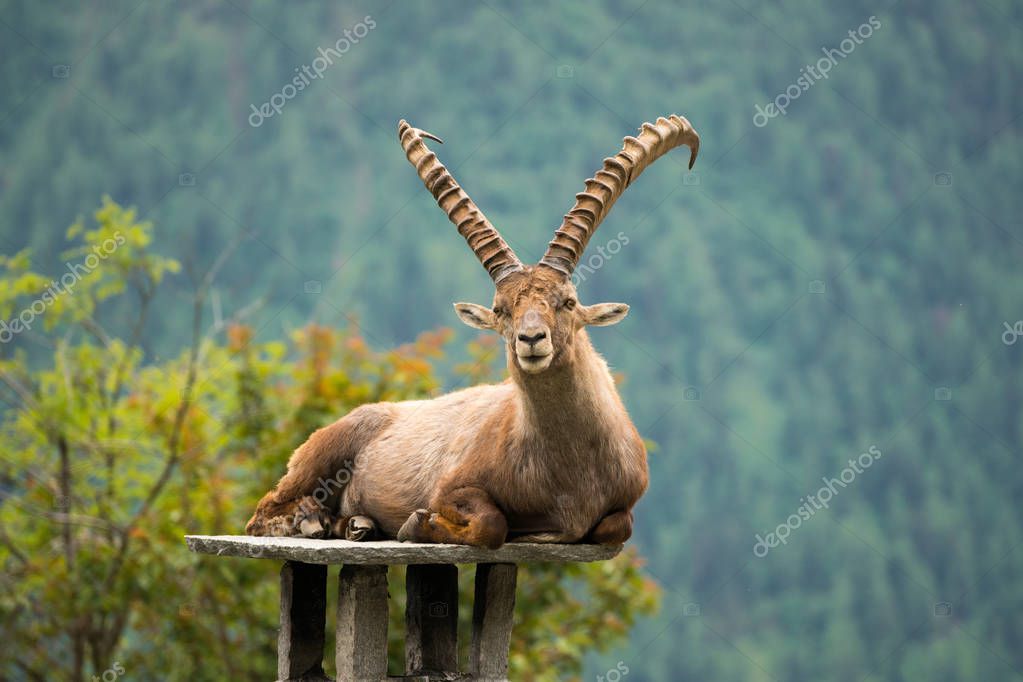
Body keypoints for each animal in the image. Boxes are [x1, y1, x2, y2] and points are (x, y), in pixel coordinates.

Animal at [245, 114, 699, 547]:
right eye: (501, 310)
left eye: (568, 302)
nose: (531, 340)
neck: (568, 470)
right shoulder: (451, 487)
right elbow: (491, 524)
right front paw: (419, 524)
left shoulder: (624, 504)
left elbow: (615, 527)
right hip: (322, 455)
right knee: (262, 512)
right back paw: (310, 521)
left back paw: (355, 524)